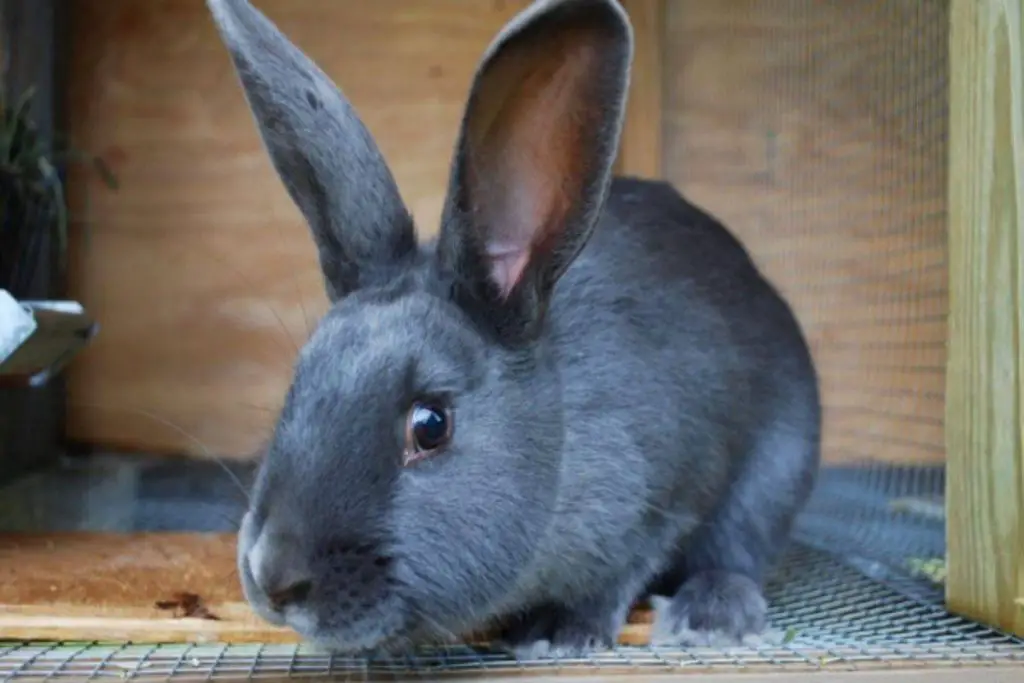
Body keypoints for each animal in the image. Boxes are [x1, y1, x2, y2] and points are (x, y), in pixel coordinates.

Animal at [208, 0, 821, 658]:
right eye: (296, 386)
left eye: (431, 426)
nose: (273, 575)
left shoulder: (666, 493)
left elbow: (624, 567)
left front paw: (556, 633)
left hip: (774, 469)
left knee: (739, 552)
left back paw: (708, 614)